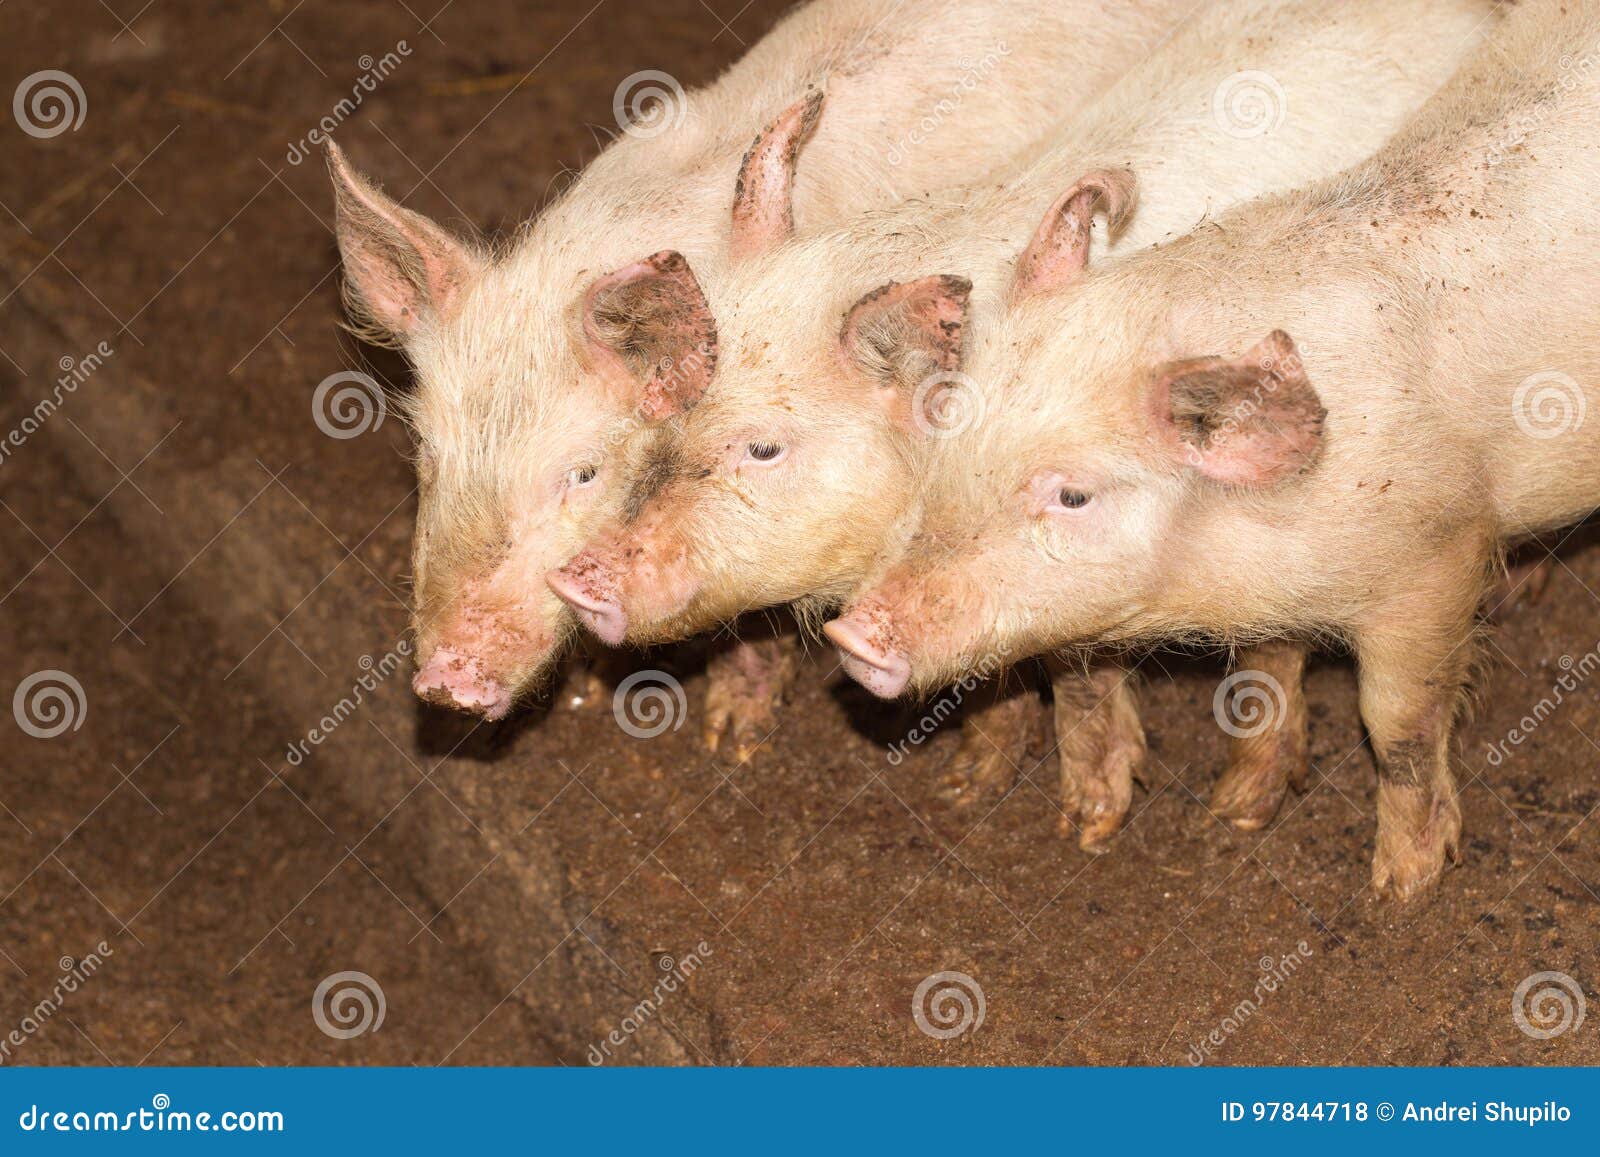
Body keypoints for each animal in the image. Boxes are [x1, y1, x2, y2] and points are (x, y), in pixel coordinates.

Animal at [548, 0, 1498, 845]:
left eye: (763, 447)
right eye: (666, 425)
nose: (576, 577)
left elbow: (1071, 674)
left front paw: (1085, 826)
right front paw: (975, 788)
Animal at [827, 0, 1600, 898]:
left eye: (1073, 495)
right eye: (949, 428)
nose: (851, 634)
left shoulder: (1434, 558)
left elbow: (1398, 725)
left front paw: (1400, 887)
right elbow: (1265, 670)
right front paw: (1231, 813)